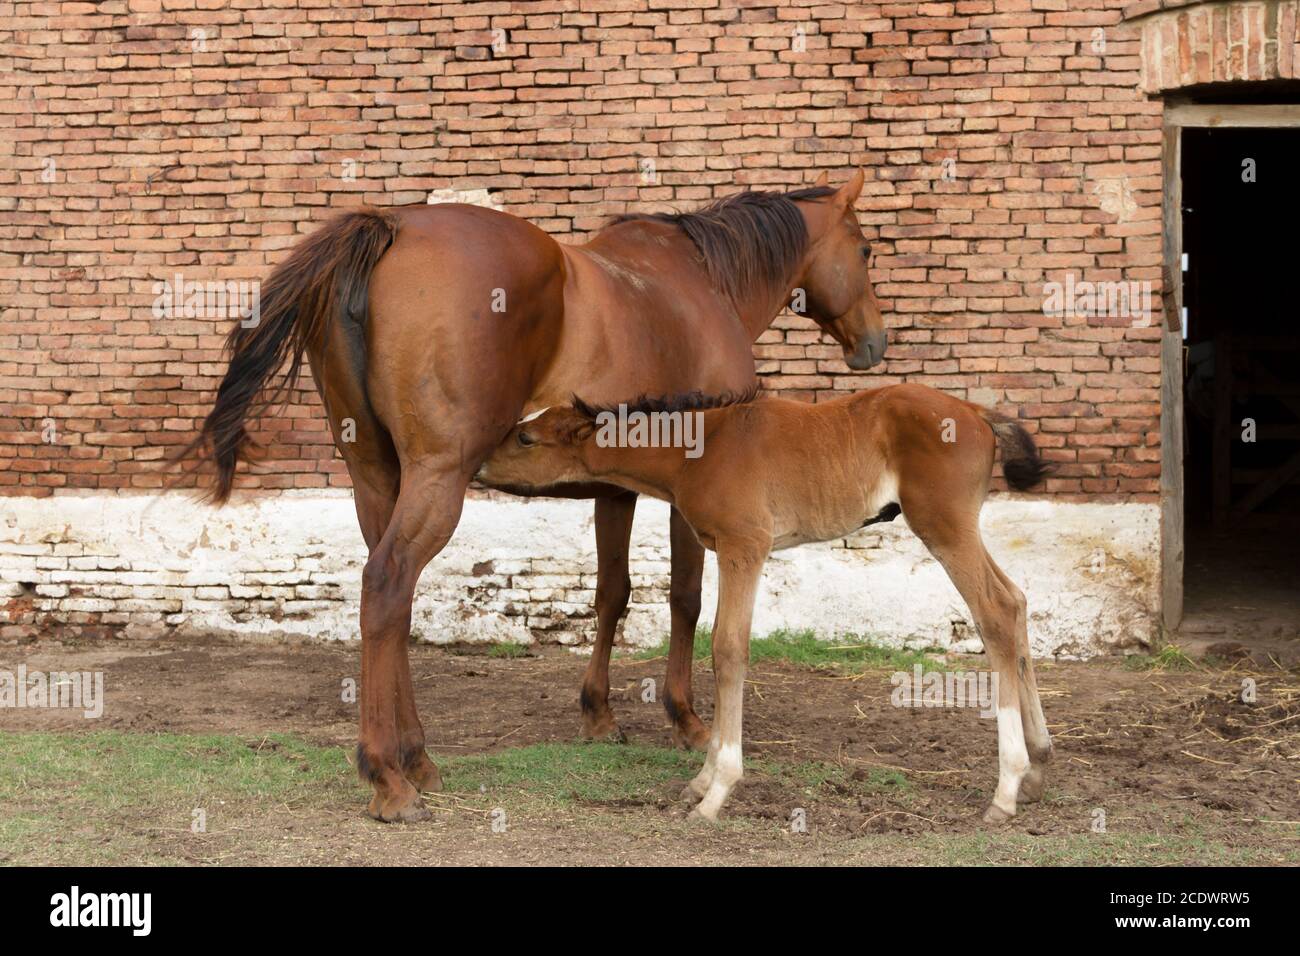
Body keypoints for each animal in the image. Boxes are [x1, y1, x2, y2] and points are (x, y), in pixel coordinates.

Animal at [183, 172, 887, 822]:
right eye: (865, 249)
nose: (874, 344)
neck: (702, 283)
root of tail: (392, 228)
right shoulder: (687, 494)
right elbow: (684, 598)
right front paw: (686, 720)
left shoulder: (616, 489)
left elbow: (611, 594)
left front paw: (598, 714)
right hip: (438, 479)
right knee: (387, 583)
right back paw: (388, 777)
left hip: (376, 481)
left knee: (392, 606)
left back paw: (417, 757)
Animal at [478, 383, 1053, 823]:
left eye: (526, 437)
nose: (479, 465)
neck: (701, 448)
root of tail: (977, 413)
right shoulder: (729, 550)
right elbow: (719, 646)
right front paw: (701, 779)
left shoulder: (745, 546)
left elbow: (728, 649)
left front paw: (716, 791)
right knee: (1017, 601)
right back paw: (1039, 765)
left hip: (944, 526)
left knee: (995, 613)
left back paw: (1006, 790)